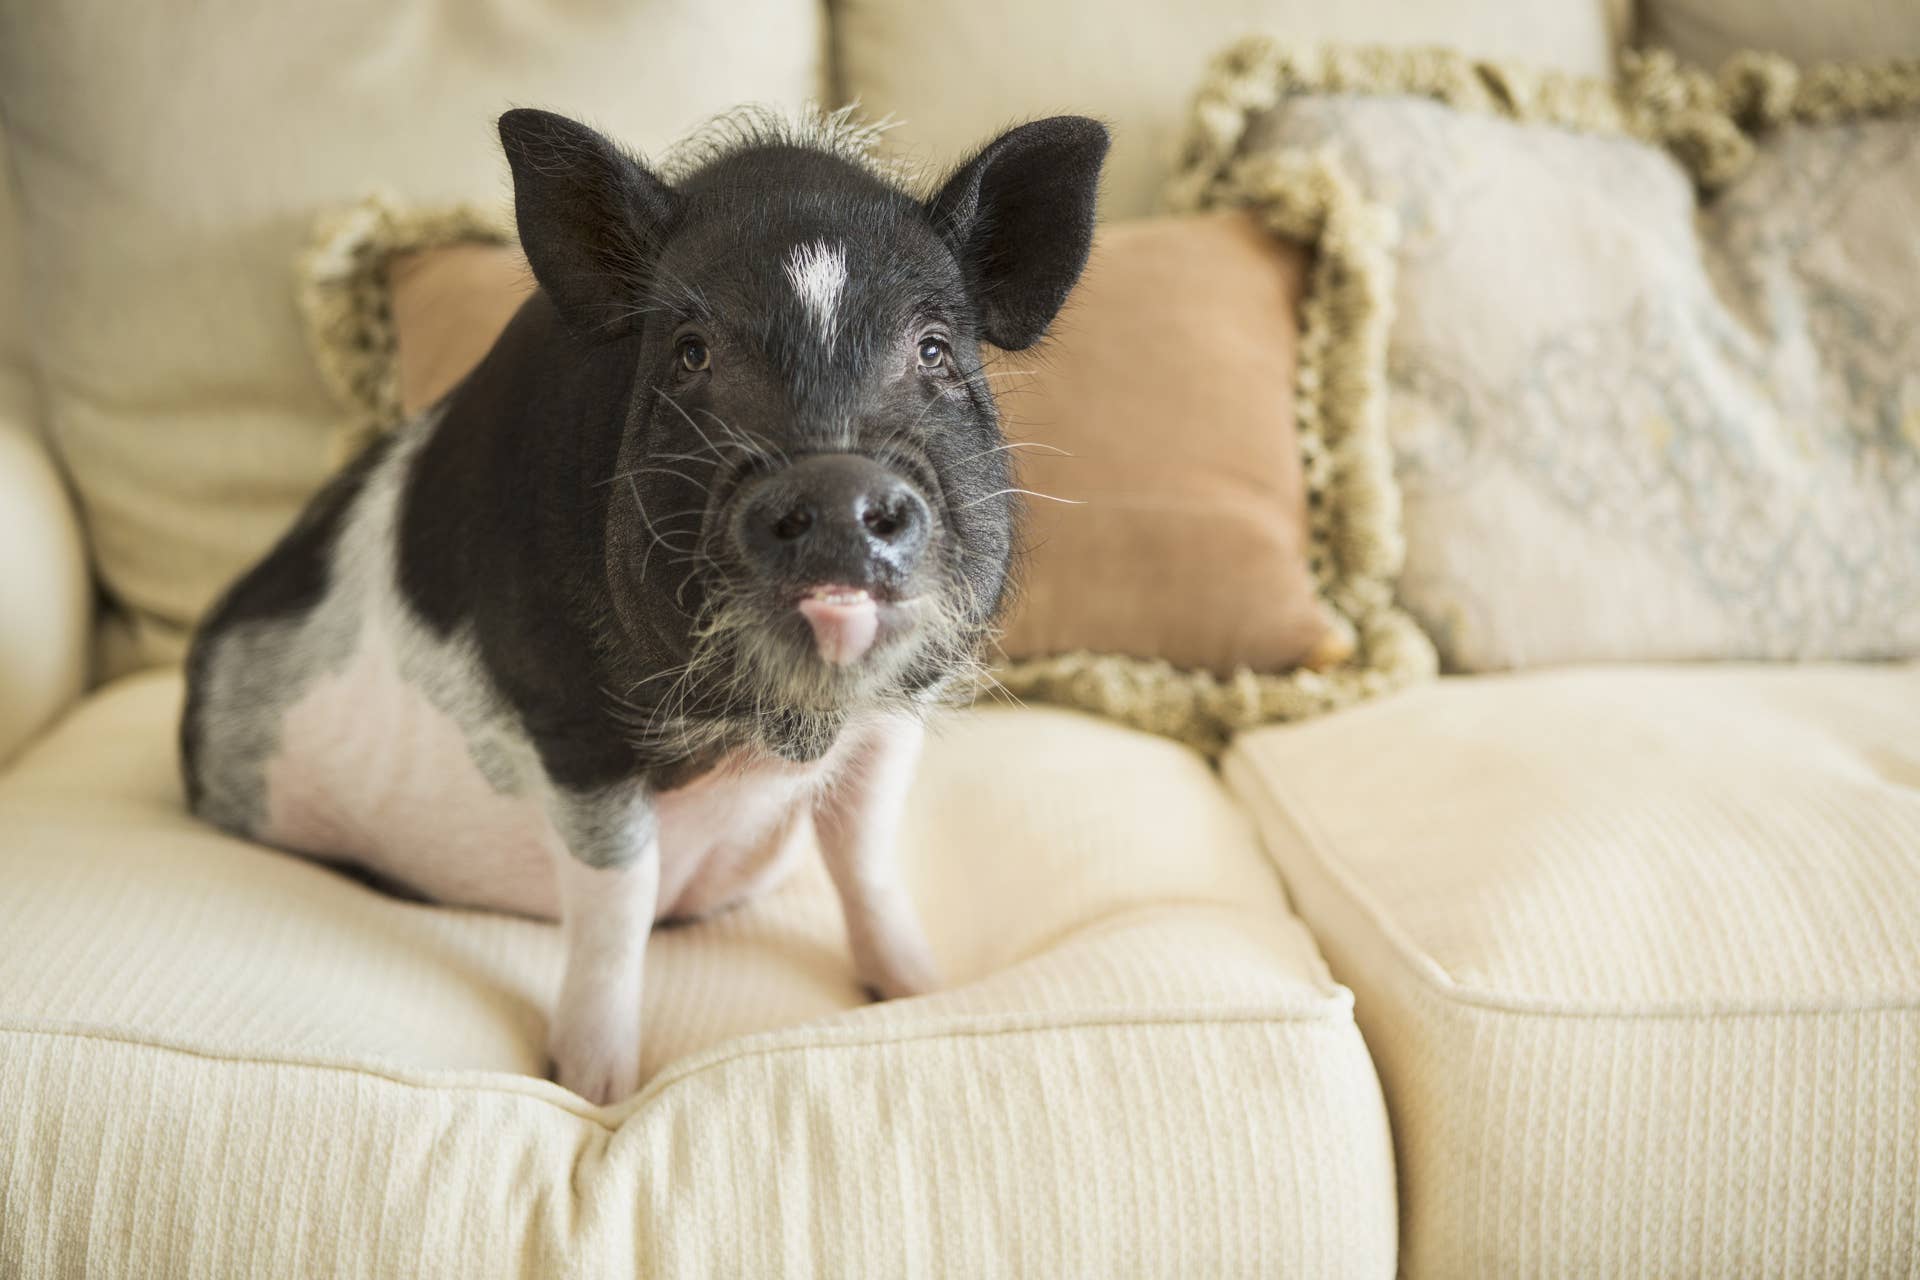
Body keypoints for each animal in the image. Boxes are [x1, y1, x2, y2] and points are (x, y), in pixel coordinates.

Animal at [178, 106, 1108, 1103]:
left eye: (933, 348)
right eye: (690, 352)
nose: (835, 483)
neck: (770, 736)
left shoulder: (899, 708)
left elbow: (865, 856)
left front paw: (926, 991)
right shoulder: (568, 717)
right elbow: (618, 899)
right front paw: (596, 1089)